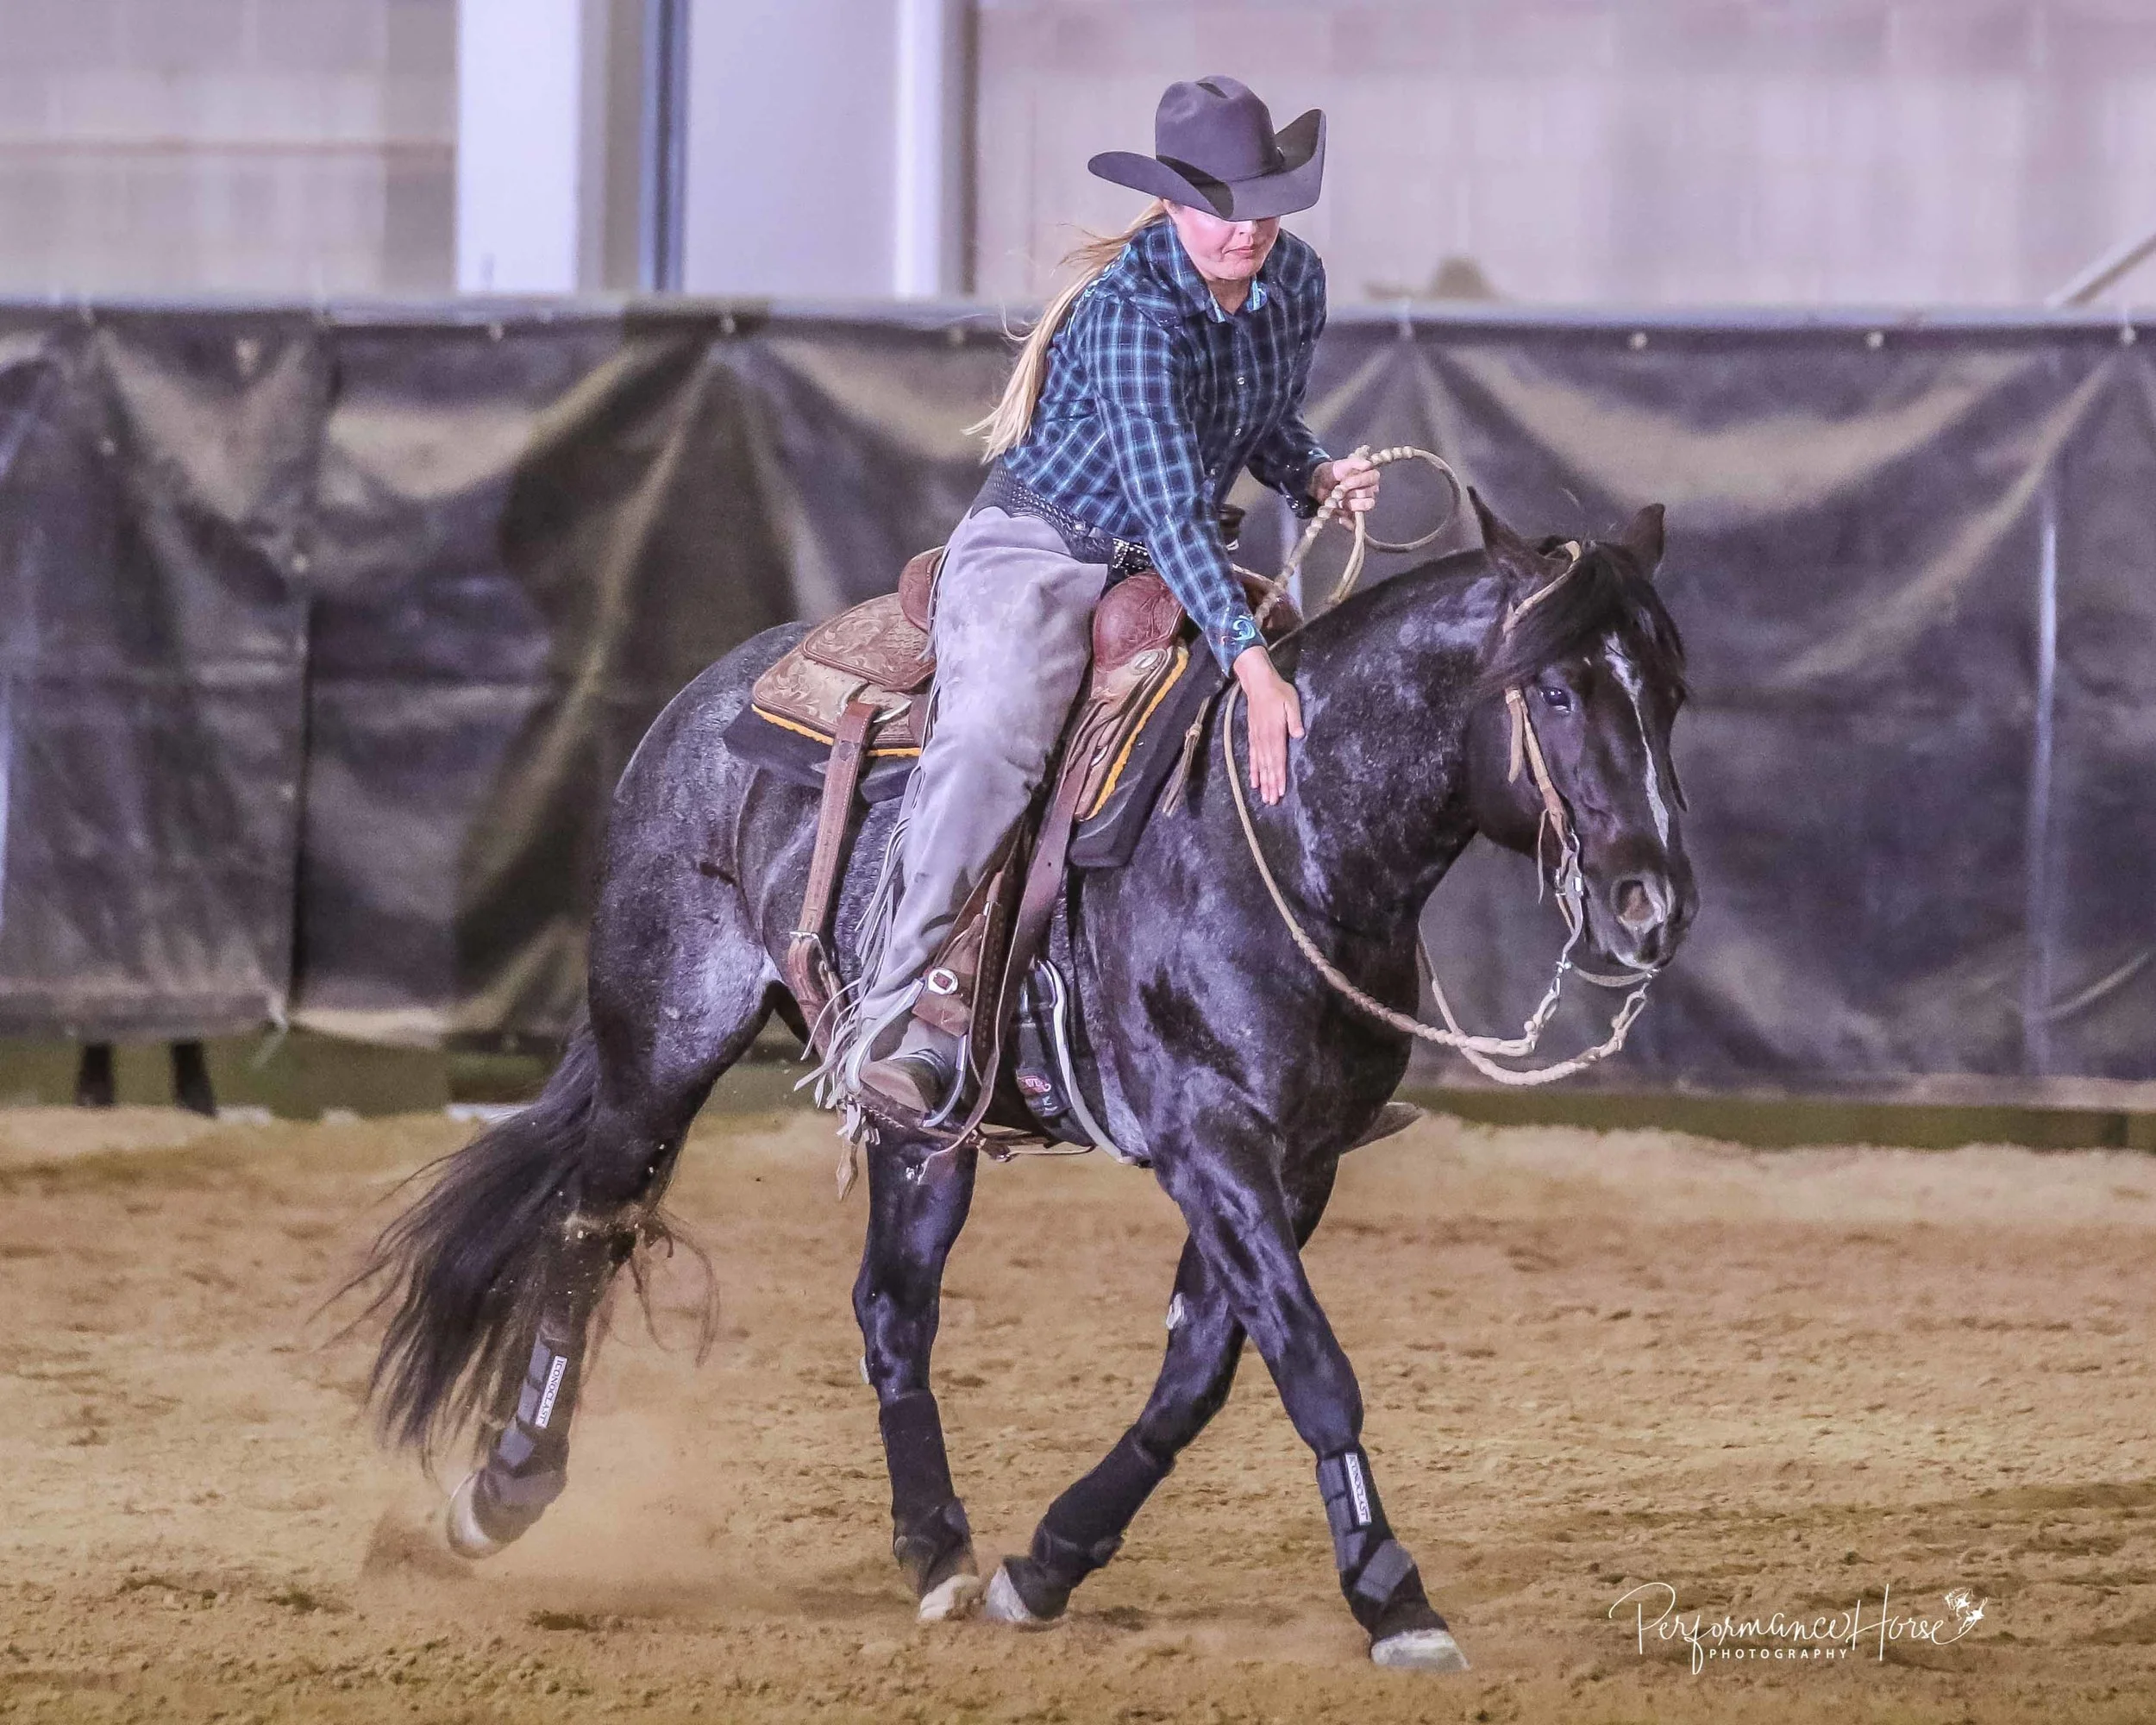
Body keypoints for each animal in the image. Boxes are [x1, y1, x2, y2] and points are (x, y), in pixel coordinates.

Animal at [352, 490, 1695, 1673]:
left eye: (1671, 694)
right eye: (1559, 690)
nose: (1652, 905)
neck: (1280, 827)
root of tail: (705, 696)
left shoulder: (1296, 1163)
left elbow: (1199, 1375)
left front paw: (1044, 1565)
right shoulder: (1212, 1143)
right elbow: (1312, 1366)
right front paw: (1394, 1597)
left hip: (921, 1125)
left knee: (891, 1309)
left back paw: (937, 1547)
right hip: (664, 1034)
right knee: (594, 1224)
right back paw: (503, 1490)